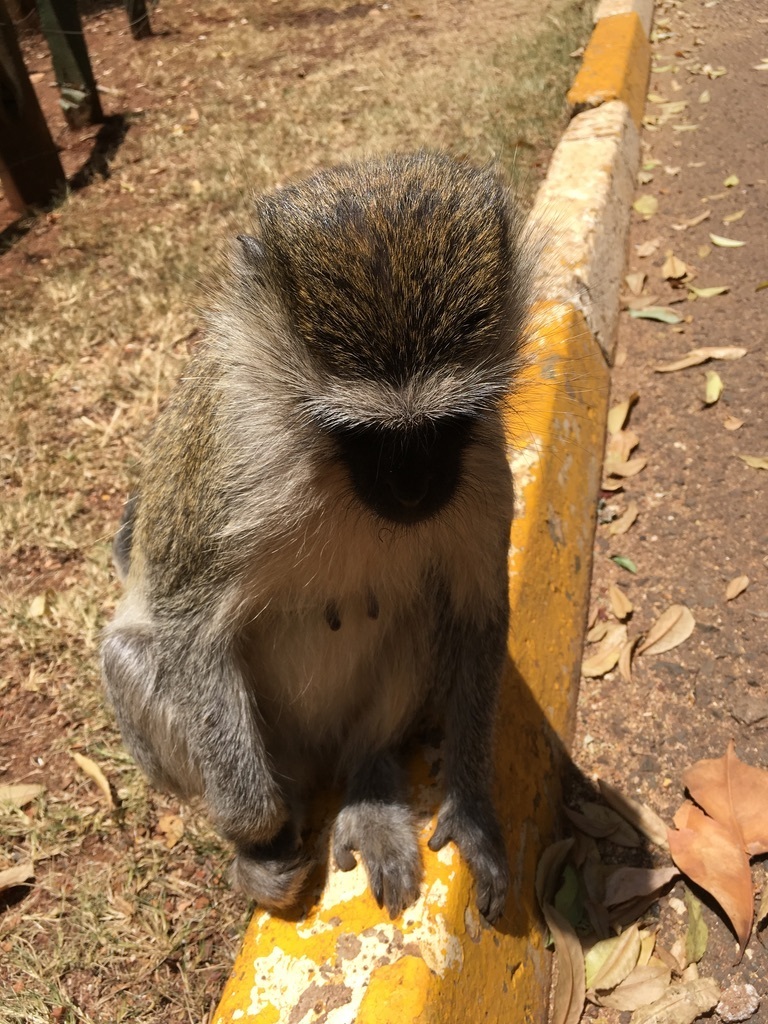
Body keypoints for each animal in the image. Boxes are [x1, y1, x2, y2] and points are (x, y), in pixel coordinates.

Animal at [101, 151, 534, 924]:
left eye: (446, 424)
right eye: (364, 434)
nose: (414, 488)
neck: (329, 467)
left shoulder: (479, 464)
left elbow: (476, 615)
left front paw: (473, 807)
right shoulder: (231, 462)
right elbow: (188, 626)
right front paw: (258, 830)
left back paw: (368, 783)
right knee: (131, 654)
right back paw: (267, 842)